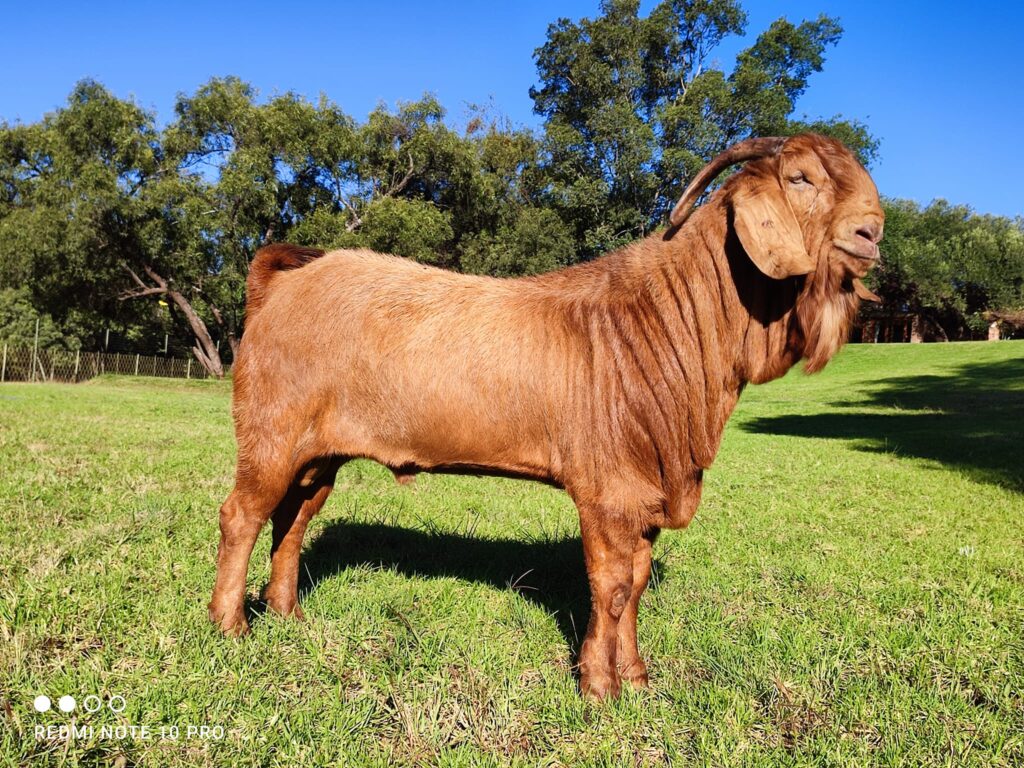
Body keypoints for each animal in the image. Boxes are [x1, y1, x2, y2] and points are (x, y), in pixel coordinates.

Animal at [209, 133, 884, 700]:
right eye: (800, 177)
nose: (872, 231)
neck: (670, 321)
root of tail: (281, 282)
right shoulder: (608, 491)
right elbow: (611, 587)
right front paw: (598, 688)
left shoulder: (647, 492)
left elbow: (637, 583)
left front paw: (636, 678)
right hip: (270, 431)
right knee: (242, 514)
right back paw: (230, 625)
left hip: (318, 451)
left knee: (294, 517)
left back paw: (288, 613)